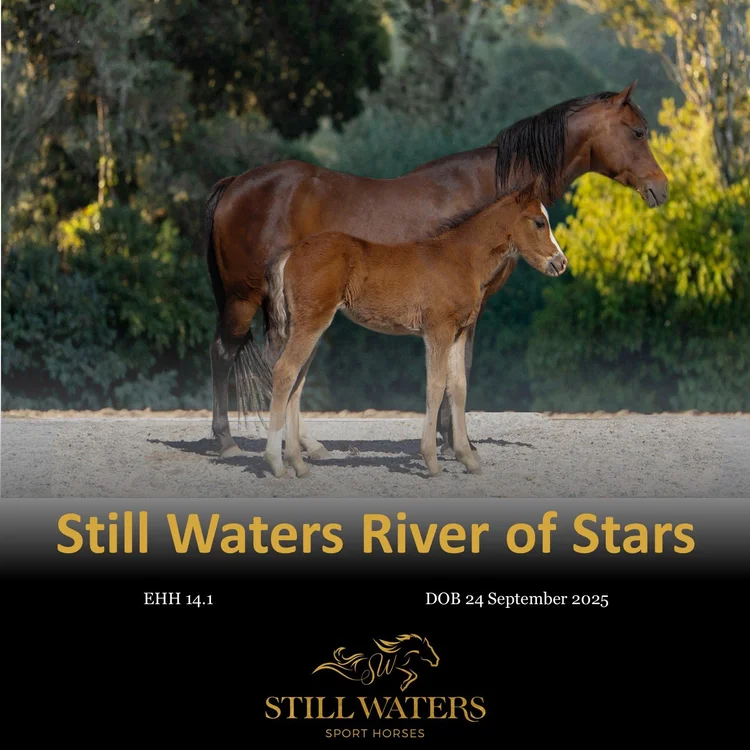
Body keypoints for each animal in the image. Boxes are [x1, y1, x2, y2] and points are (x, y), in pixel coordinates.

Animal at [262, 178, 566, 478]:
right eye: (540, 222)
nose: (560, 262)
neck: (461, 259)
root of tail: (291, 254)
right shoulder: (438, 330)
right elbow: (435, 386)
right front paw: (432, 461)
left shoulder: (458, 333)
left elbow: (458, 388)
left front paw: (468, 459)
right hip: (311, 322)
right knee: (285, 371)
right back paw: (277, 464)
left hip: (311, 326)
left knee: (298, 382)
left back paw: (298, 463)